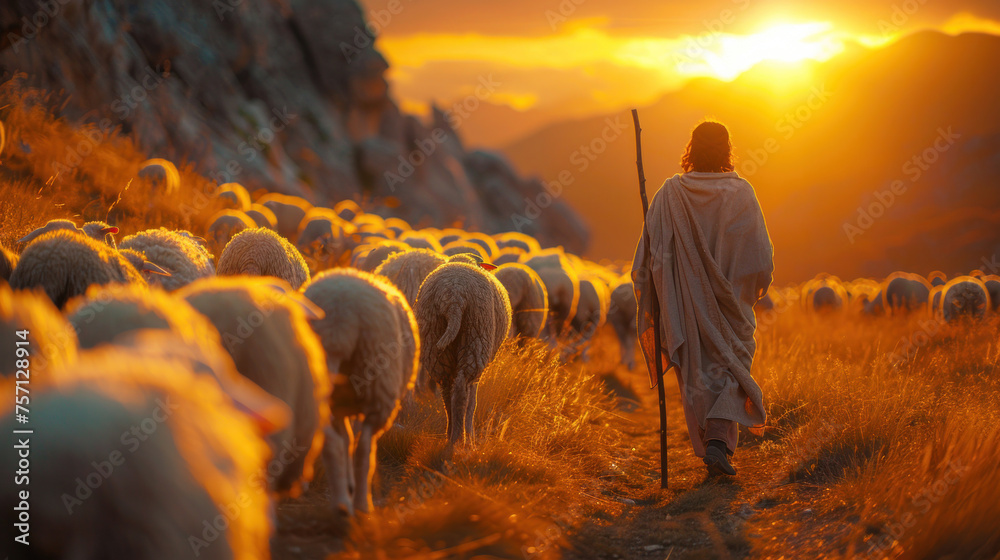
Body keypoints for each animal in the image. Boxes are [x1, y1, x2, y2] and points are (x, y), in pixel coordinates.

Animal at [302, 268, 418, 515]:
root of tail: (338, 321)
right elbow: (354, 444)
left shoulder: (339, 405)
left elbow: (345, 440)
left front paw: (348, 484)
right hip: (379, 390)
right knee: (365, 448)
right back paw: (362, 504)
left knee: (332, 443)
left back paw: (341, 502)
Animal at [415, 262, 511, 446]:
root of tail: (454, 298)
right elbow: (473, 401)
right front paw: (471, 435)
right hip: (476, 338)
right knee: (461, 390)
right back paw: (461, 439)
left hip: (434, 340)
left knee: (447, 389)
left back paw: (451, 433)